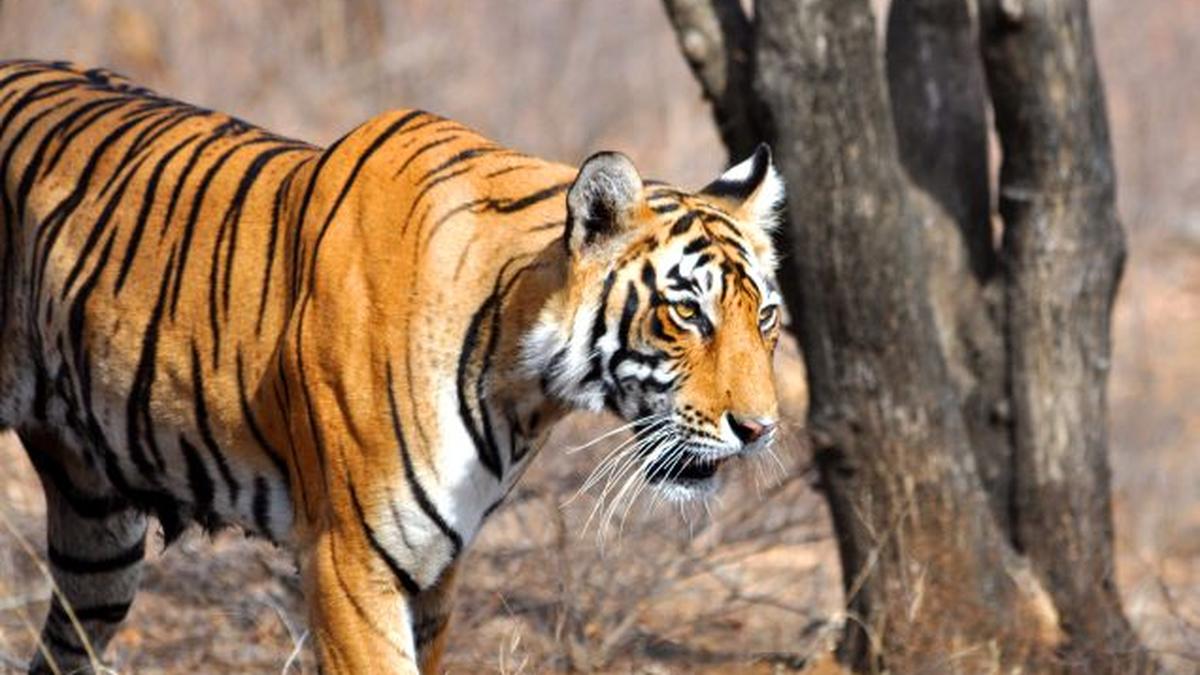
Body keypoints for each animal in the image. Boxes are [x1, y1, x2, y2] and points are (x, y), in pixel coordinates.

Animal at [0, 59, 785, 674]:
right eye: (688, 313)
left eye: (766, 318)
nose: (761, 430)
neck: (522, 384)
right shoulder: (350, 560)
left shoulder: (436, 570)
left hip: (98, 536)